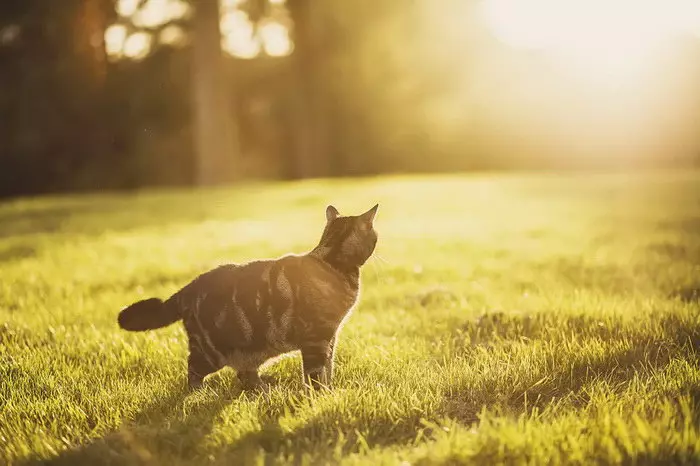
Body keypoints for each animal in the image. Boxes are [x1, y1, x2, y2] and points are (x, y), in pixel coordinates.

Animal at [116, 203, 378, 390]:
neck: (332, 261)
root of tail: (189, 287)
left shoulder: (330, 337)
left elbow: (328, 369)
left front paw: (329, 391)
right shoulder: (316, 339)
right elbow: (315, 375)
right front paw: (320, 396)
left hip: (252, 350)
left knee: (243, 374)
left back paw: (265, 390)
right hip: (211, 351)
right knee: (193, 370)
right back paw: (200, 393)